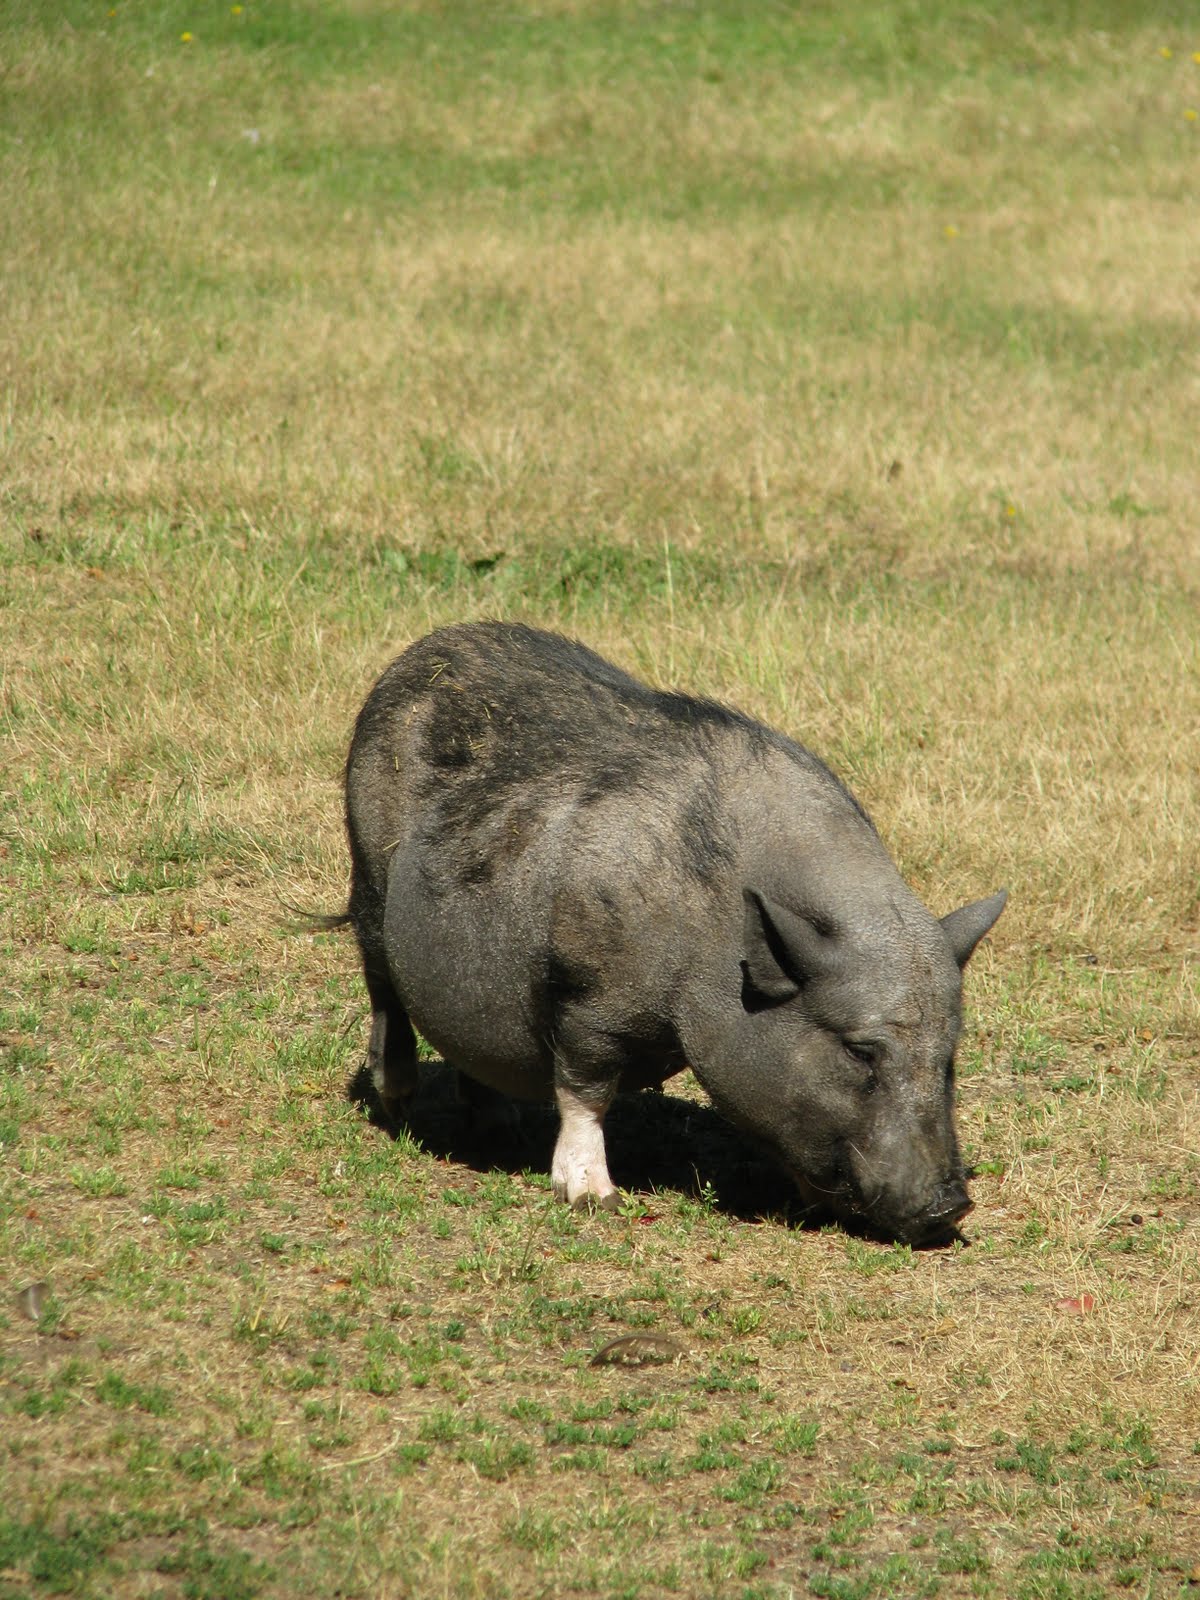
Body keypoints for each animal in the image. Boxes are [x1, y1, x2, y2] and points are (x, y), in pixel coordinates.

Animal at [335, 621, 1005, 1245]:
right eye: (860, 1051)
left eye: (948, 1054)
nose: (952, 1205)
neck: (712, 940)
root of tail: (415, 656)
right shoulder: (588, 989)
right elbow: (587, 1087)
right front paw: (594, 1199)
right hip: (367, 870)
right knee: (382, 983)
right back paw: (398, 1101)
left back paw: (500, 1127)